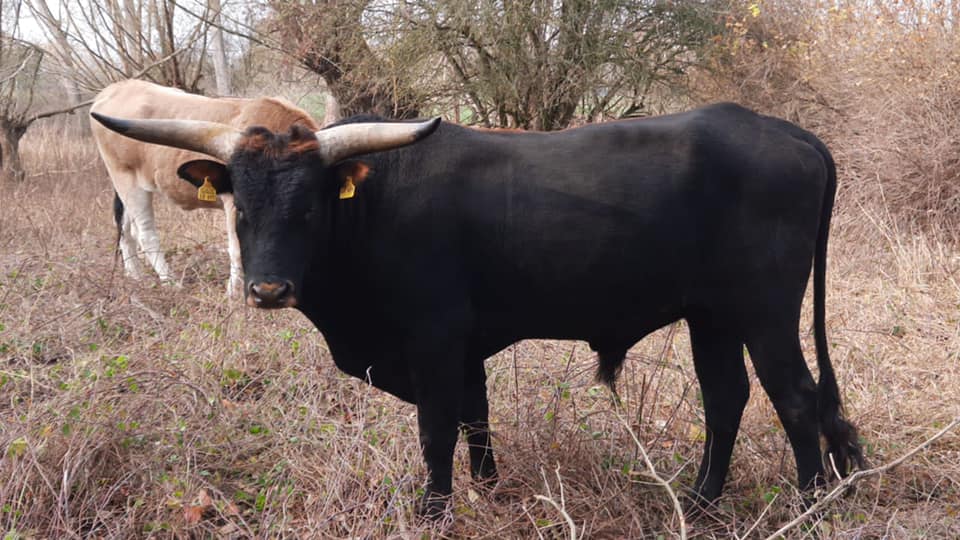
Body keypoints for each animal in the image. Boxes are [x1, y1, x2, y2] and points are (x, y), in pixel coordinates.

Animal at [90, 79, 320, 296]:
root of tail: (114, 89)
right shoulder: (233, 204)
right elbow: (237, 249)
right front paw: (233, 294)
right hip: (127, 181)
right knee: (145, 234)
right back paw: (170, 282)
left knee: (125, 230)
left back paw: (135, 276)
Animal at [90, 103, 865, 518]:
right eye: (241, 207)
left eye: (309, 204)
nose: (269, 290)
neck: (372, 208)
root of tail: (785, 132)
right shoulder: (464, 352)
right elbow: (475, 421)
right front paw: (490, 491)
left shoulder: (434, 338)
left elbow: (437, 432)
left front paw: (434, 511)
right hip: (712, 316)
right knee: (726, 396)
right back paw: (700, 503)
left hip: (764, 313)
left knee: (795, 400)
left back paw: (808, 506)